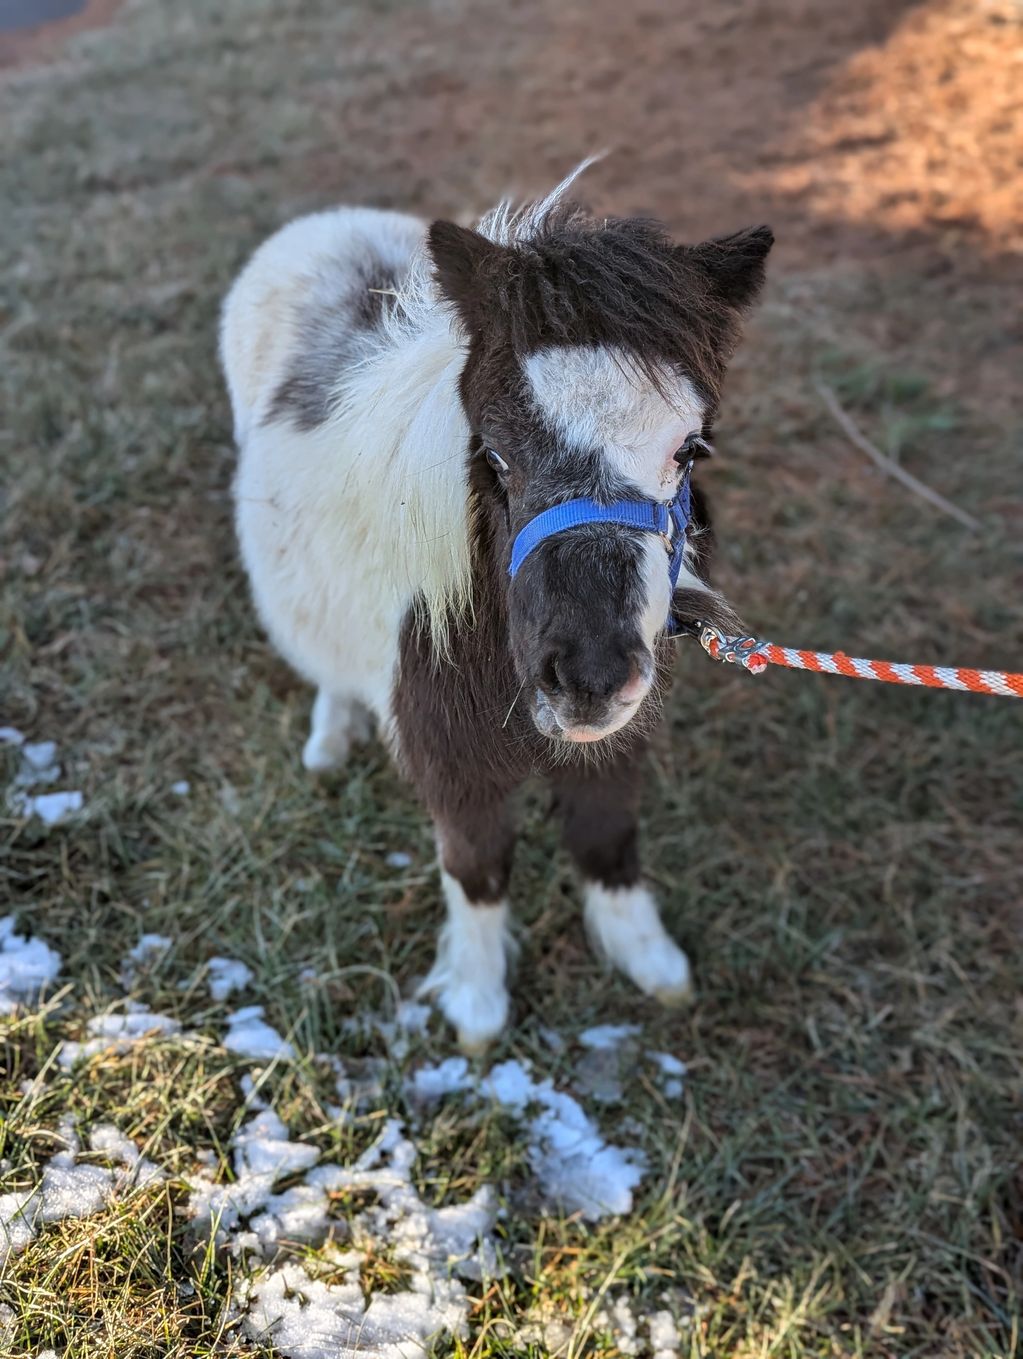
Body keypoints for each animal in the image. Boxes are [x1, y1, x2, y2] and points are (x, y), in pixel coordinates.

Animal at [220, 165, 772, 1051]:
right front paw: (477, 1007)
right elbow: (475, 866)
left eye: (689, 448)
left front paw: (650, 963)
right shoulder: (447, 756)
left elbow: (605, 840)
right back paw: (328, 742)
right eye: (493, 451)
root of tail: (321, 223)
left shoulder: (615, 741)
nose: (587, 675)